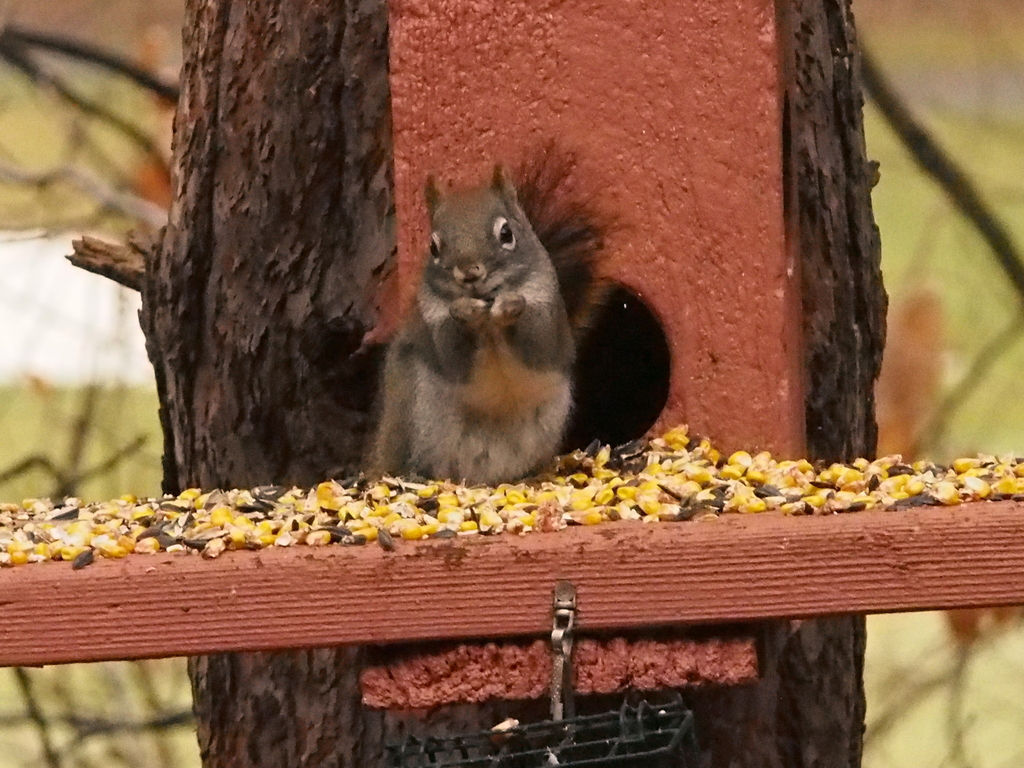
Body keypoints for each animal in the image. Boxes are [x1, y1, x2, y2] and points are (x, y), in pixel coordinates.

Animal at [368, 147, 609, 486]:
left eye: (506, 233)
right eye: (433, 246)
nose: (470, 273)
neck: (489, 325)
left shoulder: (549, 312)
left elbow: (538, 345)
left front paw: (511, 305)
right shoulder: (433, 324)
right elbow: (454, 358)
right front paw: (464, 311)